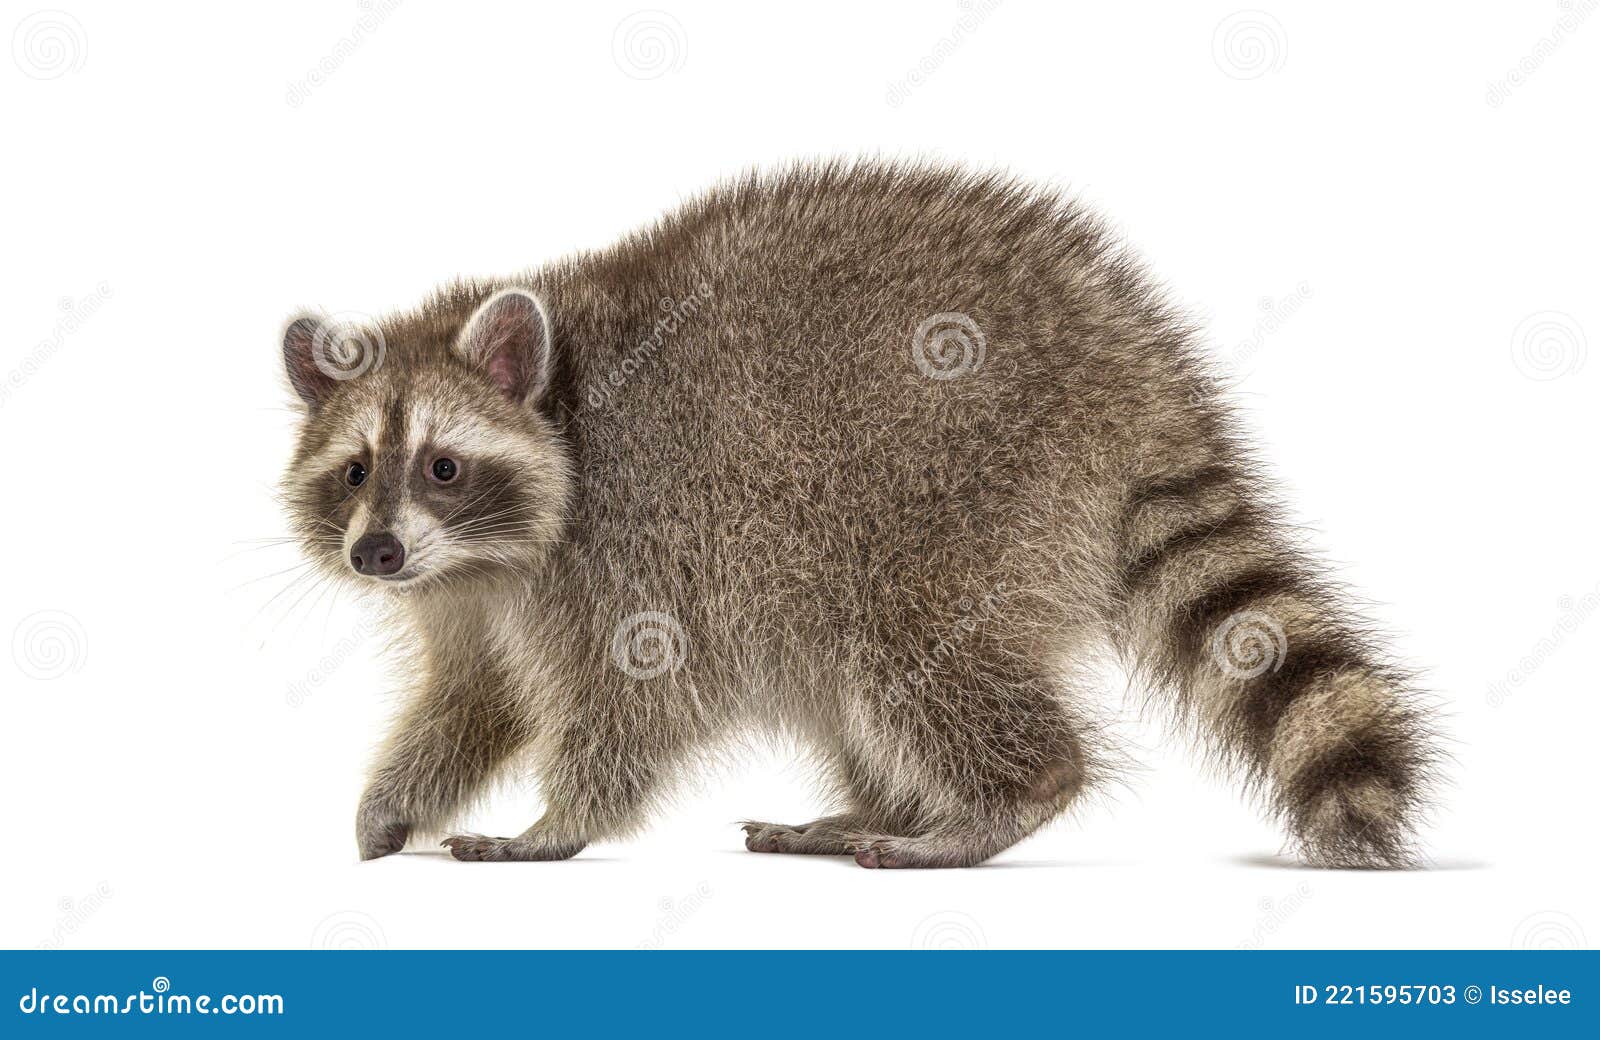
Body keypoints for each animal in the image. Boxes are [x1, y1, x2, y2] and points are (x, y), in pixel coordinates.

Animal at [281, 162, 1440, 869]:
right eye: (355, 471)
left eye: (442, 465)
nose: (376, 552)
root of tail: (1140, 370)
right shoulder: (468, 590)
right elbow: (476, 699)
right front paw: (398, 797)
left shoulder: (632, 548)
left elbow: (629, 697)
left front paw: (560, 820)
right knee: (842, 672)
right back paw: (878, 804)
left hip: (969, 490)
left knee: (902, 644)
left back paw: (1001, 795)